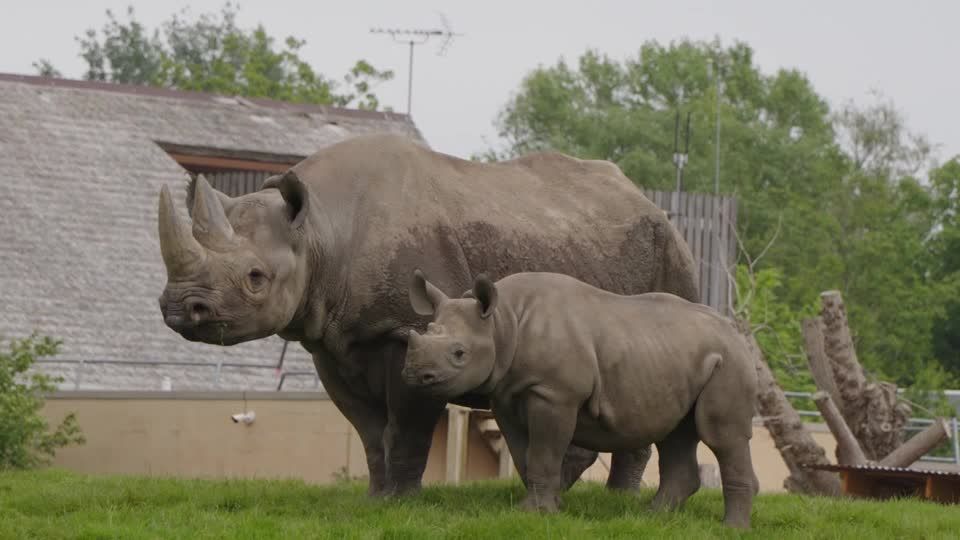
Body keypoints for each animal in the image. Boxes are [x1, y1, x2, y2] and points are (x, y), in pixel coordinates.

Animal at [156, 133, 700, 496]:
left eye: (255, 277)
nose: (179, 308)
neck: (319, 230)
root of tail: (647, 198)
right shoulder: (331, 339)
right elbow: (368, 430)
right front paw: (377, 499)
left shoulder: (407, 331)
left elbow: (409, 427)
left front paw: (404, 502)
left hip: (671, 253)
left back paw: (620, 503)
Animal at [404, 271, 759, 528]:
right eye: (424, 332)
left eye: (459, 353)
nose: (416, 376)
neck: (503, 322)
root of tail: (736, 333)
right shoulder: (505, 397)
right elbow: (524, 454)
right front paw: (546, 507)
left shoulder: (553, 393)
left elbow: (544, 450)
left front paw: (538, 513)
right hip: (681, 359)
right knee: (676, 435)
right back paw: (653, 518)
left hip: (729, 361)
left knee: (721, 436)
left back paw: (731, 529)